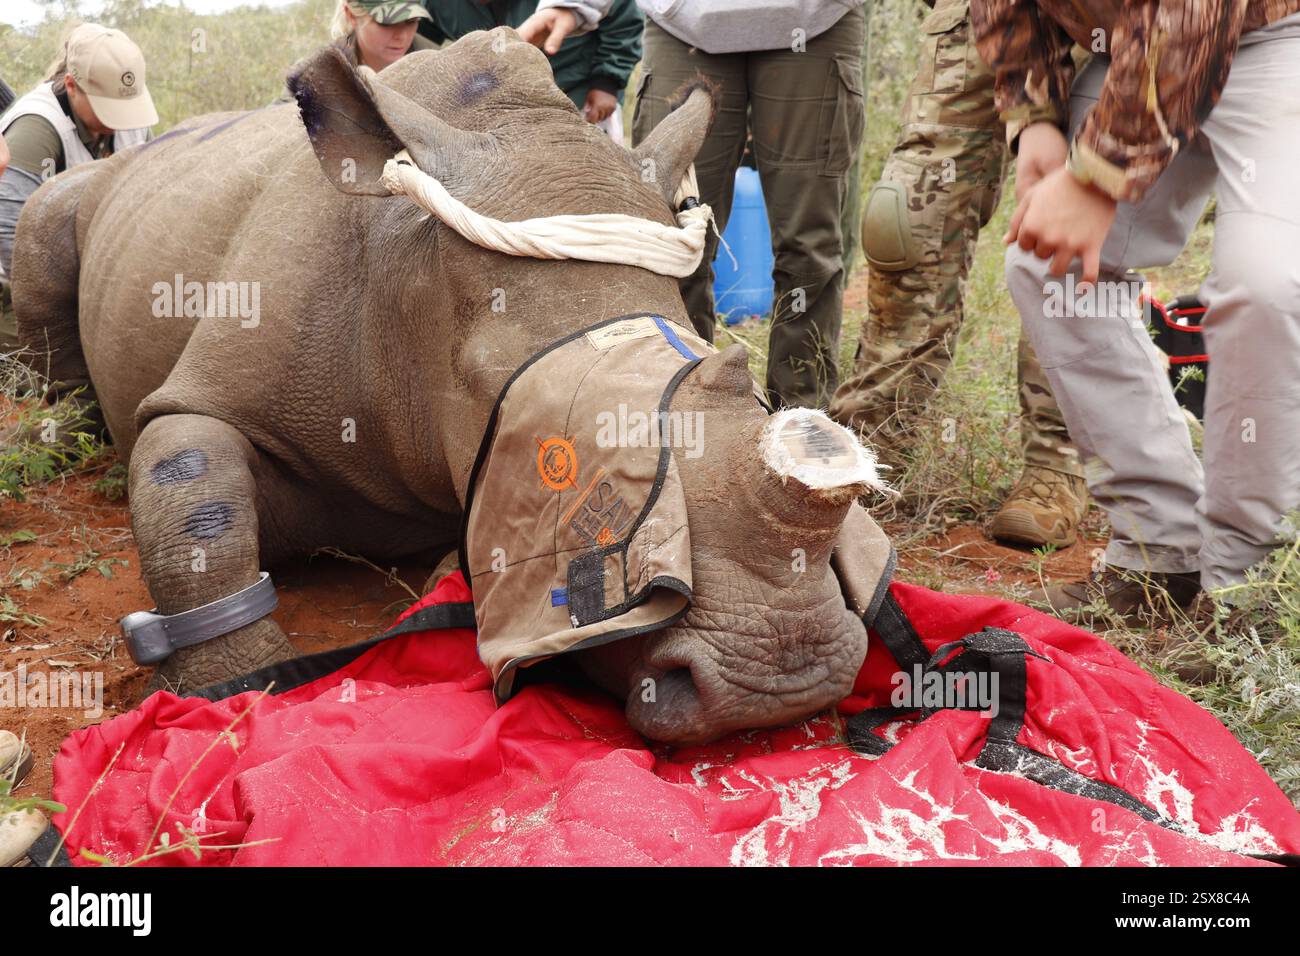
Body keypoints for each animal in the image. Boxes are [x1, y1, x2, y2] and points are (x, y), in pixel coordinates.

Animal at [10, 29, 890, 745]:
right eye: (513, 406)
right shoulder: (209, 390)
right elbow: (191, 482)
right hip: (83, 194)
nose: (775, 678)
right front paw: (244, 695)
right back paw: (64, 428)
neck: (411, 280)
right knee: (45, 226)